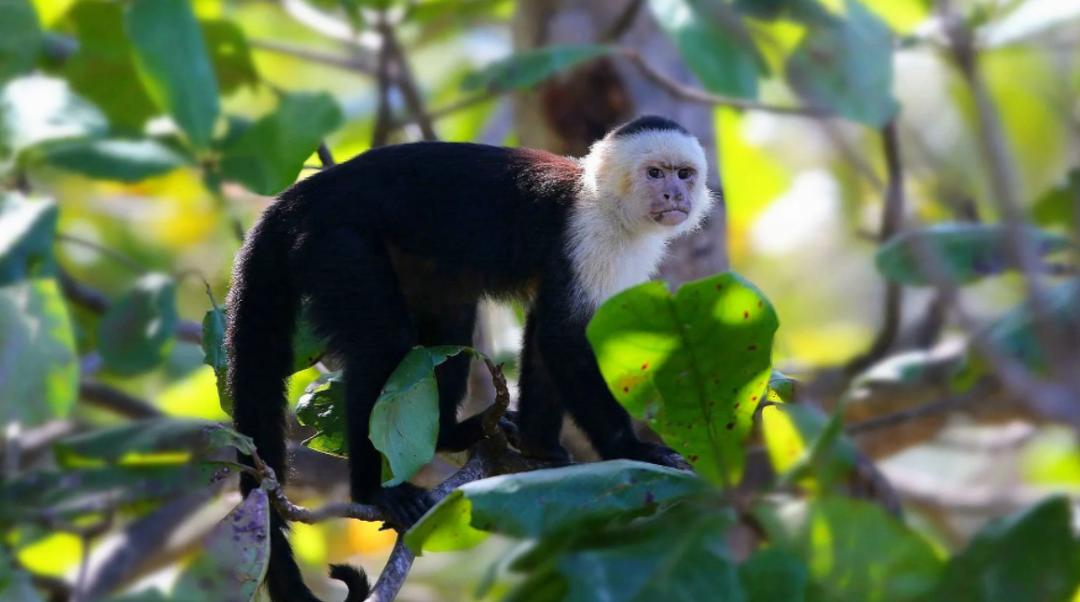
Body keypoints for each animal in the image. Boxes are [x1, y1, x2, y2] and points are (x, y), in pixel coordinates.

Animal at [225, 115, 714, 601]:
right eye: (656, 173)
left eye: (684, 174)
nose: (675, 196)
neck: (605, 201)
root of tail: (301, 196)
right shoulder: (590, 236)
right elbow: (563, 338)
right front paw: (628, 448)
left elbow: (544, 335)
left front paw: (539, 444)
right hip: (336, 244)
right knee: (385, 346)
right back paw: (374, 490)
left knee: (449, 327)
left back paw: (451, 434)